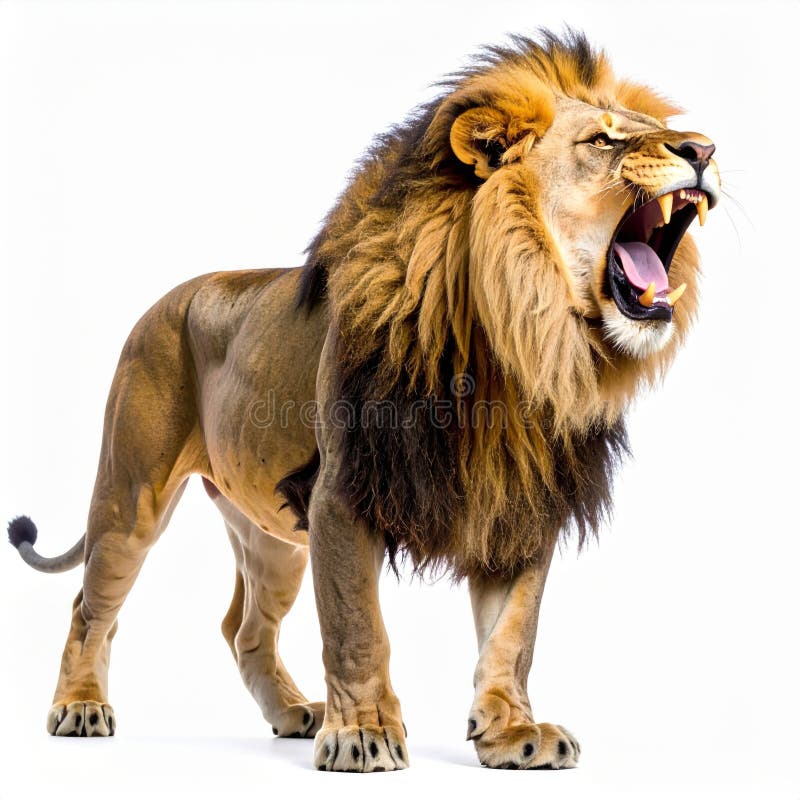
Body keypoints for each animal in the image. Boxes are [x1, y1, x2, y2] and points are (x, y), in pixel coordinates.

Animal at [8, 30, 719, 771]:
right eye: (605, 139)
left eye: (656, 128)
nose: (703, 150)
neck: (517, 341)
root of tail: (166, 298)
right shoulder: (342, 493)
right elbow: (357, 626)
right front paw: (363, 734)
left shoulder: (519, 506)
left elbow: (512, 635)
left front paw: (513, 733)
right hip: (131, 497)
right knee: (90, 606)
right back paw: (80, 707)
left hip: (272, 536)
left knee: (244, 628)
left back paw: (292, 712)